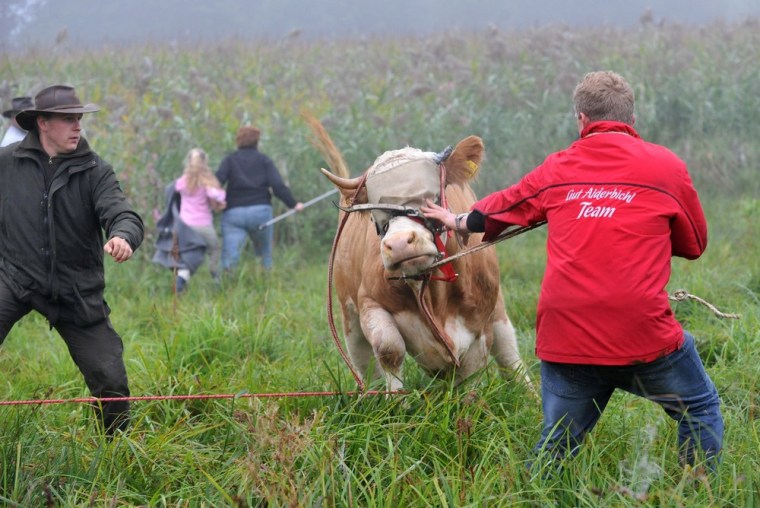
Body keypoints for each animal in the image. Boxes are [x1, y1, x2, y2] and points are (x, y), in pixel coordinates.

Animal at [308, 118, 531, 392]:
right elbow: (389, 348)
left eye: (429, 197)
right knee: (365, 363)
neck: (433, 294)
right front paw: (396, 400)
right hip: (349, 314)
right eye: (375, 214)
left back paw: (529, 392)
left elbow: (472, 374)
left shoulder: (480, 324)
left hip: (497, 310)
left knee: (509, 353)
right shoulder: (369, 301)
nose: (399, 244)